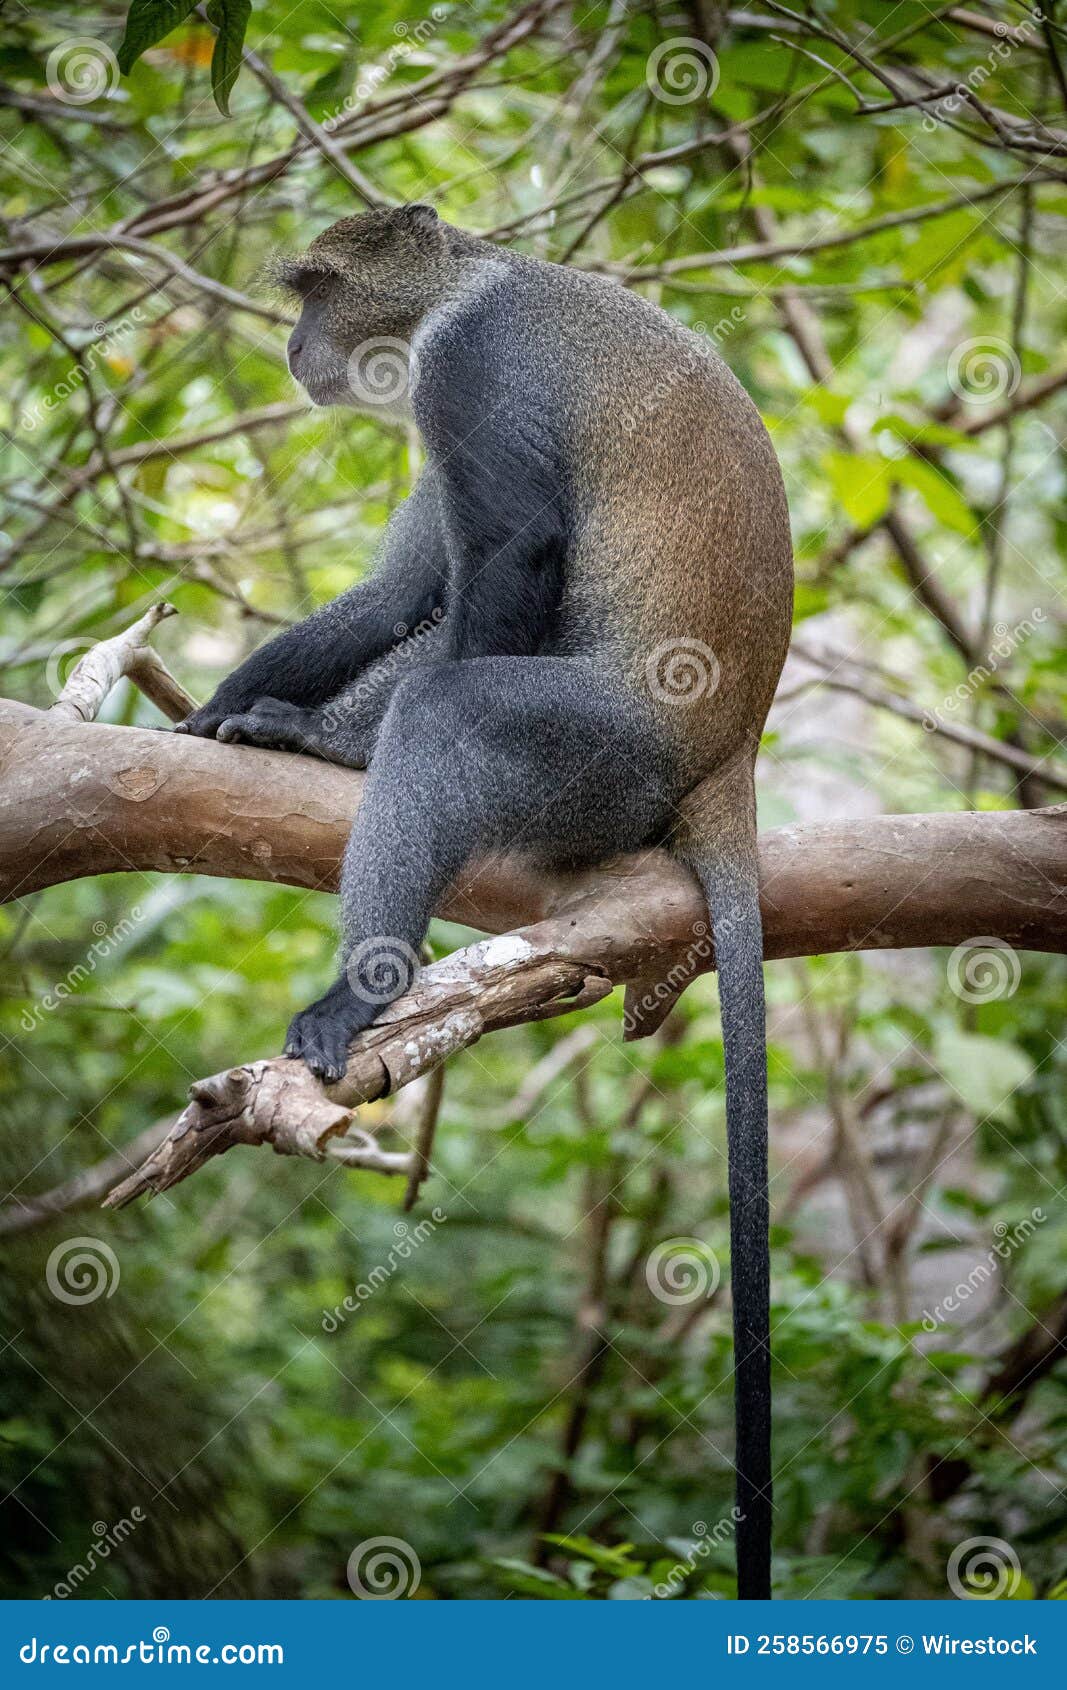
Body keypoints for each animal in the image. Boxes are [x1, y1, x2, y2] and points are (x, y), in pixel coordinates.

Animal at [176, 203, 793, 1599]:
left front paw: (323, 744)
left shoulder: (467, 372)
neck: (468, 278)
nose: (293, 342)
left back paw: (357, 963)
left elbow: (505, 557)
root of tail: (726, 756)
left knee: (447, 702)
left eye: (315, 288)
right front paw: (208, 710)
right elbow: (398, 592)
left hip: (596, 755)